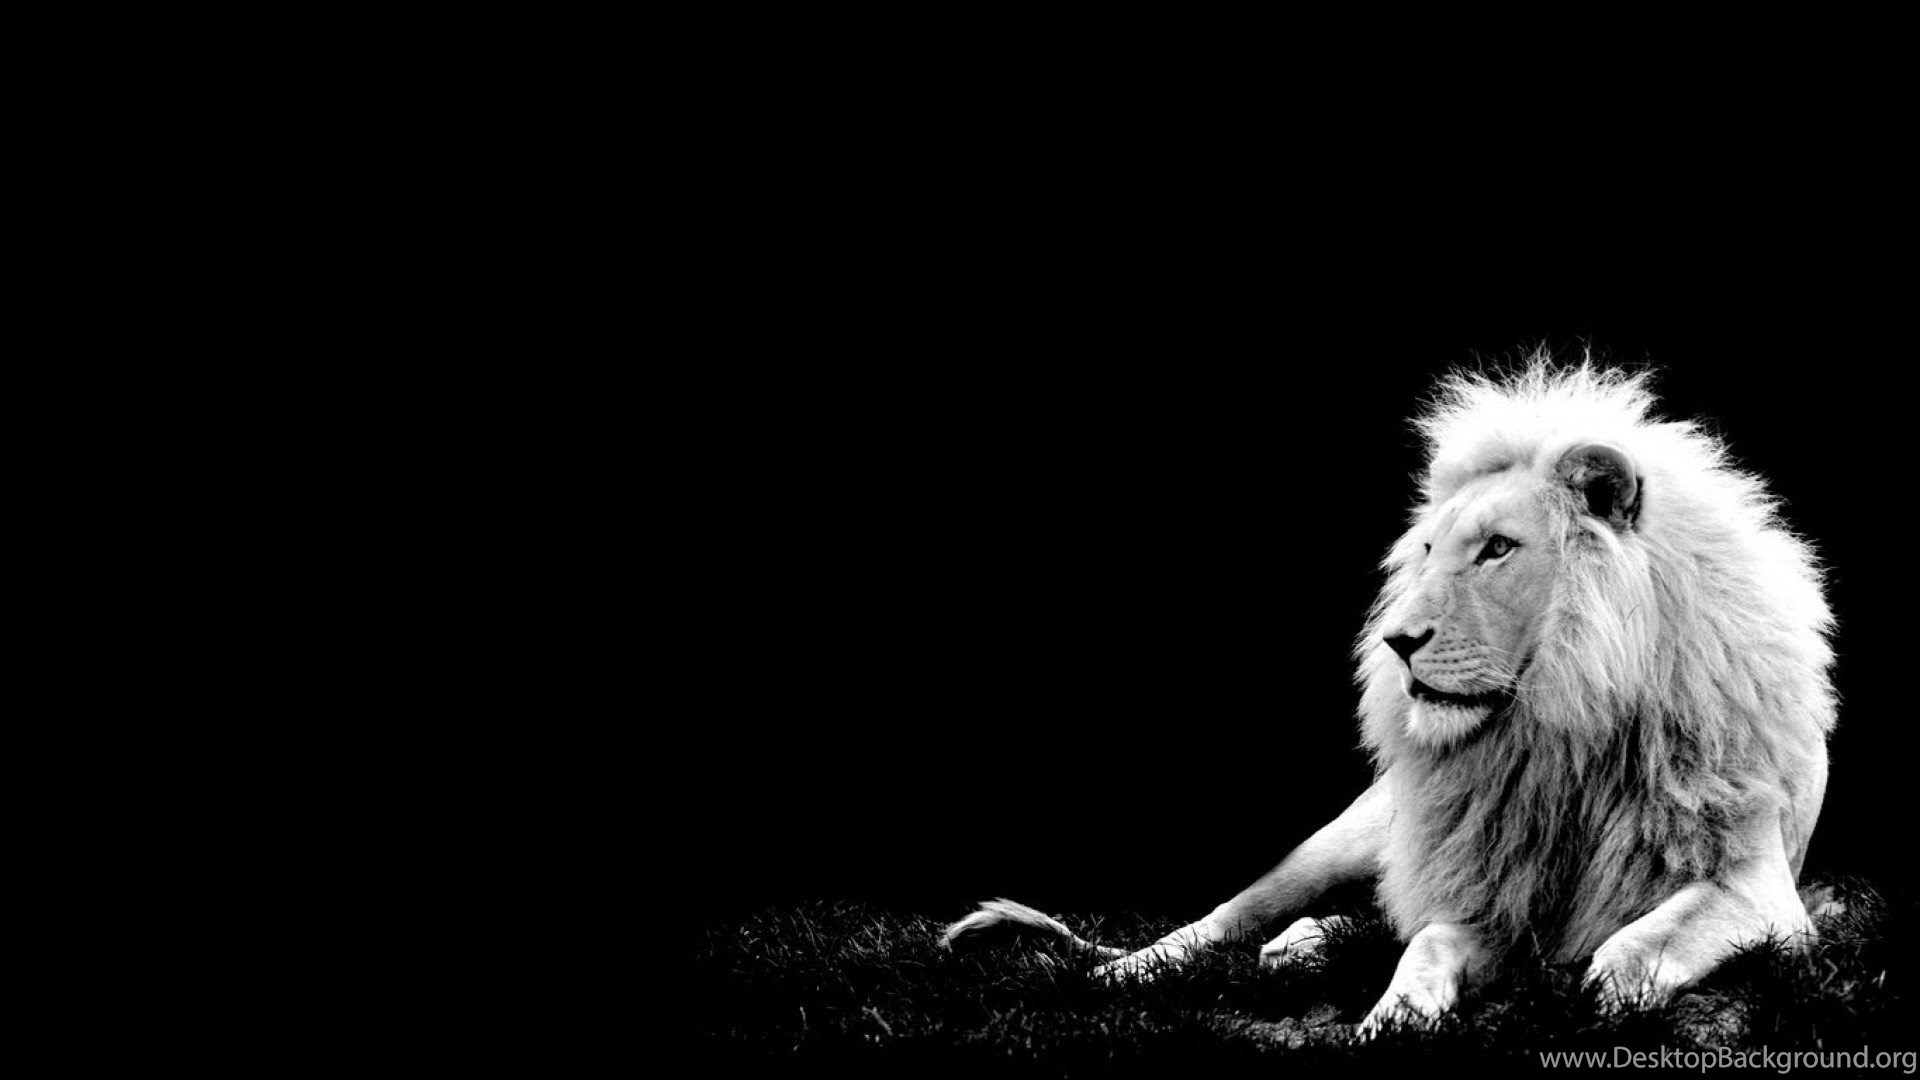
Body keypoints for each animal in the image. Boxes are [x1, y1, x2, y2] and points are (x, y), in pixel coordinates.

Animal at [943, 359, 1835, 1033]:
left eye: (1498, 550)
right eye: (1432, 551)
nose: (1396, 642)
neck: (1566, 725)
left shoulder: (1761, 892)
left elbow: (1638, 942)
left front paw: (1603, 987)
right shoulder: (1484, 891)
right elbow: (1427, 944)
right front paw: (1396, 1017)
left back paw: (1299, 949)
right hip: (1339, 842)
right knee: (1226, 920)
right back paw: (1127, 975)